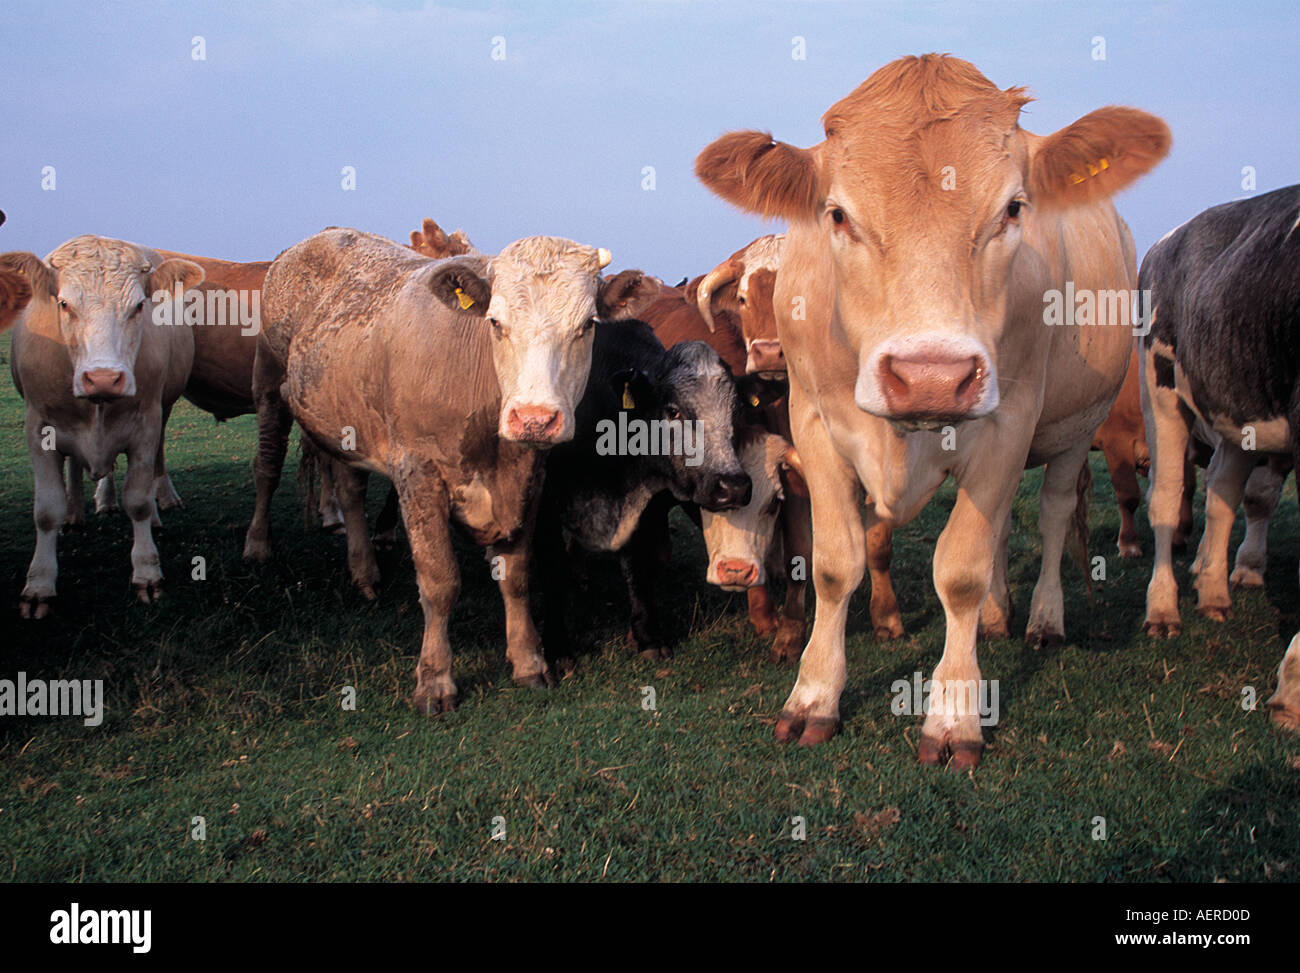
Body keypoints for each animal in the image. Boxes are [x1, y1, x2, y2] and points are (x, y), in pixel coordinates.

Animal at [5, 236, 203, 616]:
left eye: (139, 306)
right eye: (64, 303)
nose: (103, 378)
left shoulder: (146, 424)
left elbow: (138, 500)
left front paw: (147, 574)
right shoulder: (38, 429)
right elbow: (46, 511)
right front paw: (38, 585)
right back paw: (78, 512)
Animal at [247, 228, 658, 713]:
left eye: (588, 325)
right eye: (495, 323)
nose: (535, 418)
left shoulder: (527, 479)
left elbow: (516, 575)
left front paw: (528, 661)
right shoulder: (418, 472)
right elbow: (439, 579)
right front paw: (435, 680)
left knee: (349, 489)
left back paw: (364, 572)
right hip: (268, 382)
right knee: (267, 466)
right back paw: (258, 544)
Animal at [535, 320, 752, 663]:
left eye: (737, 411)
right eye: (673, 411)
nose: (733, 486)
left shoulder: (646, 507)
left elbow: (639, 569)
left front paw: (648, 637)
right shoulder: (543, 502)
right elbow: (551, 568)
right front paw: (557, 649)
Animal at [696, 53, 1170, 765]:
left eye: (1013, 208)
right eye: (838, 215)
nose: (930, 378)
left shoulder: (1010, 421)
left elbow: (961, 571)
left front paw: (953, 717)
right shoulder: (814, 427)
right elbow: (835, 565)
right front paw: (813, 698)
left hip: (1072, 429)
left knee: (1054, 515)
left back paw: (1042, 619)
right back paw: (999, 617)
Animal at [1139, 184, 1300, 729]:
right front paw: (1293, 688)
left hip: (1234, 402)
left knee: (1223, 493)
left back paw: (1212, 590)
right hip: (1162, 386)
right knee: (1168, 498)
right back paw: (1163, 608)